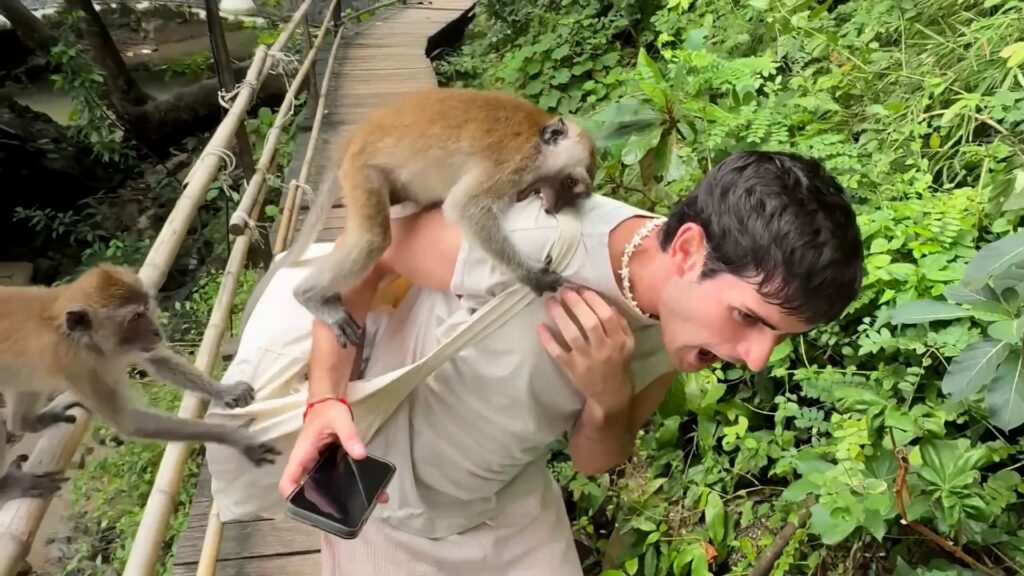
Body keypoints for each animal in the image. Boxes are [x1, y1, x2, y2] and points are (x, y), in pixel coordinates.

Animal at [0, 263, 279, 504]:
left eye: (146, 308)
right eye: (135, 316)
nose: (156, 331)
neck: (81, 340)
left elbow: (156, 359)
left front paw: (225, 391)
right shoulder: (78, 365)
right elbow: (130, 422)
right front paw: (236, 438)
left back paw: (28, 422)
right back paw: (12, 483)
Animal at [241, 87, 597, 346]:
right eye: (570, 182)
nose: (555, 206)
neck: (537, 137)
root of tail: (354, 140)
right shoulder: (513, 162)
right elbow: (464, 207)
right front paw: (529, 275)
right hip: (362, 172)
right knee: (373, 239)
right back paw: (307, 295)